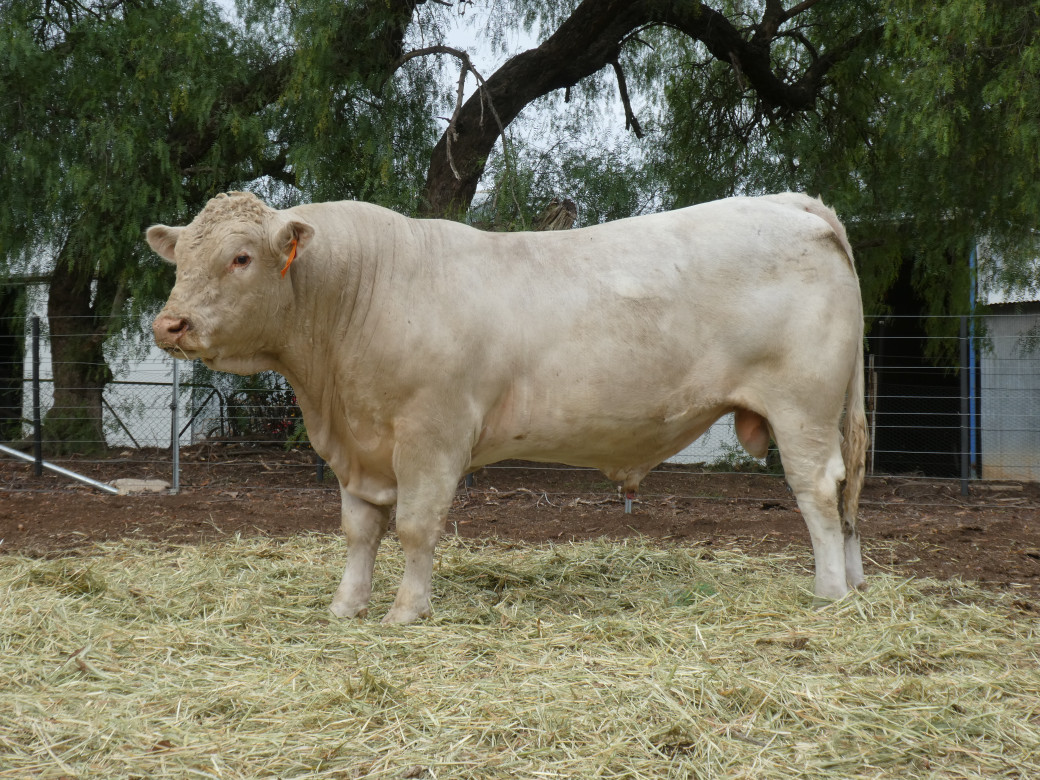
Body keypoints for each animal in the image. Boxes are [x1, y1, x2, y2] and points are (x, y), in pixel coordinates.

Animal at [147, 191, 867, 624]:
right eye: (181, 258)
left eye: (241, 257)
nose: (169, 324)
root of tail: (792, 203)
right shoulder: (359, 448)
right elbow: (359, 530)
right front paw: (346, 607)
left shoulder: (431, 436)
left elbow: (414, 527)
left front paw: (406, 611)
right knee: (847, 496)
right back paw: (855, 584)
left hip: (802, 409)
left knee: (817, 490)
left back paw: (829, 592)